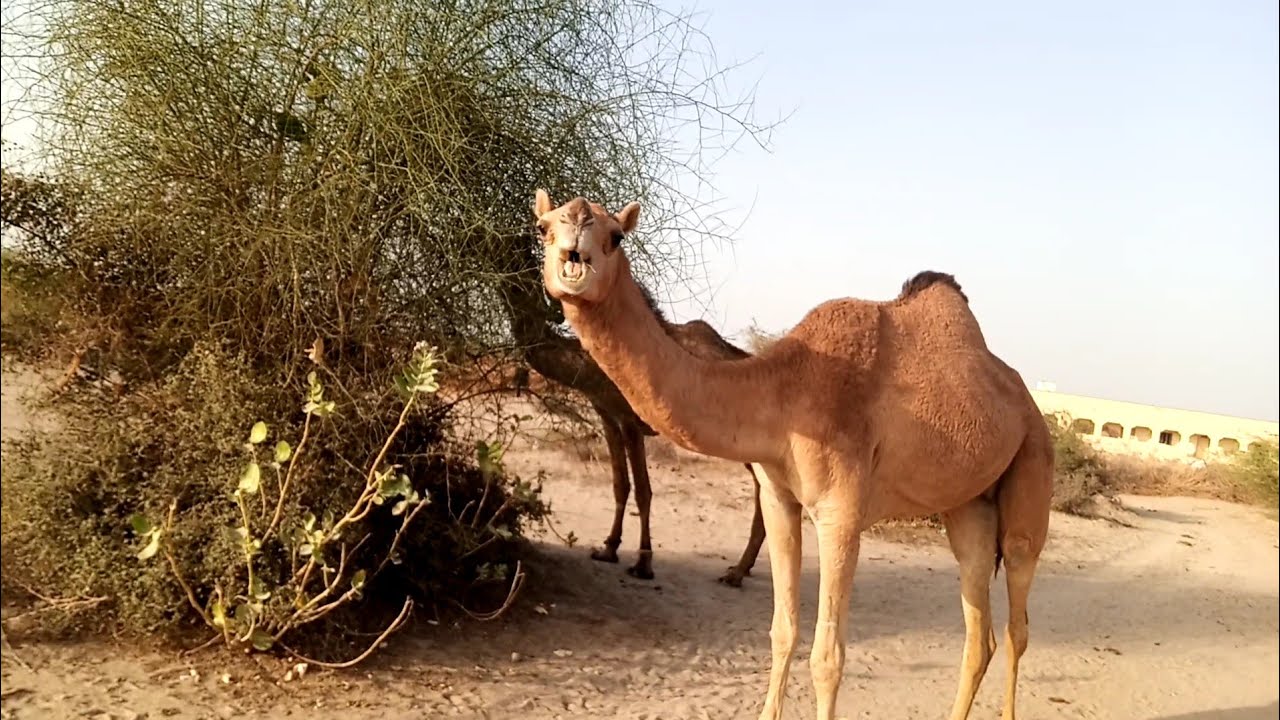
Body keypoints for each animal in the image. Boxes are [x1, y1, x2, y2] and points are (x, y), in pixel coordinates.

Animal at [532, 190, 1054, 720]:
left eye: (616, 236)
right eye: (544, 227)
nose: (574, 253)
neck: (784, 390)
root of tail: (1028, 405)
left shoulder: (841, 513)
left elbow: (828, 657)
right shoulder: (777, 496)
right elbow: (783, 631)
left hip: (1033, 464)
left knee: (1017, 618)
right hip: (968, 506)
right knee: (978, 630)